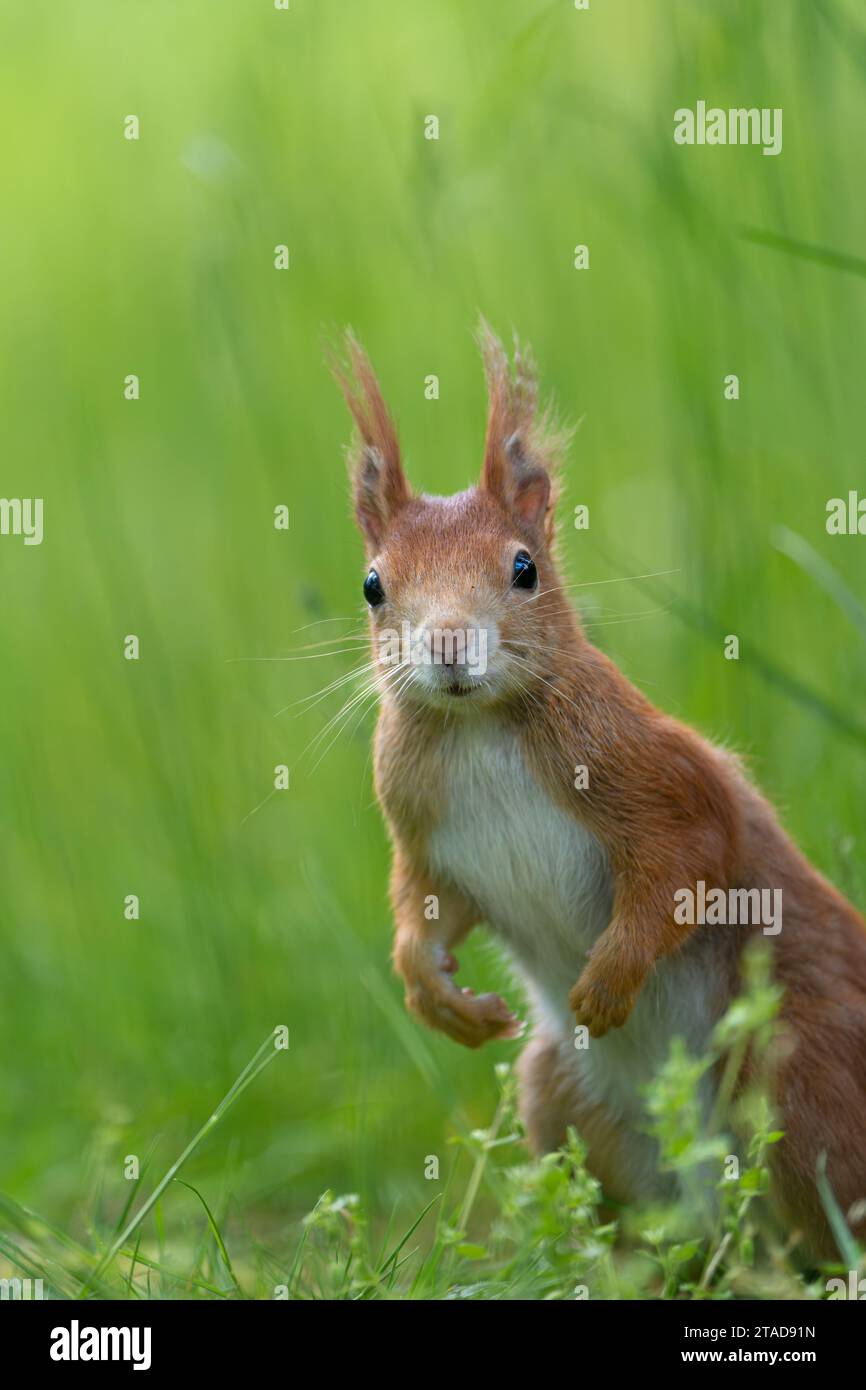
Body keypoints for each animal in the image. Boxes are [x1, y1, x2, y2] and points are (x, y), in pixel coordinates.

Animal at [331, 322, 866, 1258]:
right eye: (372, 585)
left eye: (524, 568)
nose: (447, 645)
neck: (477, 728)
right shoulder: (421, 831)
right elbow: (425, 904)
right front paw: (436, 994)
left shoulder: (655, 773)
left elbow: (685, 862)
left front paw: (608, 979)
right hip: (560, 1096)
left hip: (804, 1072)